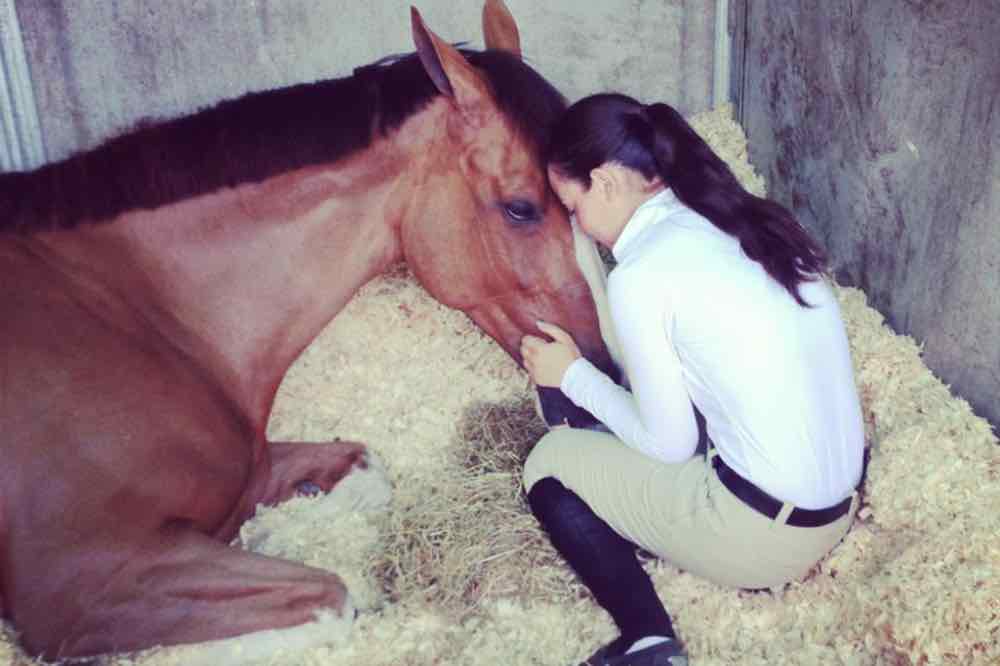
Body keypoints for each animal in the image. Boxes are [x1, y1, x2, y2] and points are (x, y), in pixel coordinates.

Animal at [0, 1, 616, 660]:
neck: (142, 309)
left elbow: (362, 471)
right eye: (521, 207)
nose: (602, 389)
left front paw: (269, 530)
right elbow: (329, 604)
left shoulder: (256, 467)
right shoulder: (84, 584)